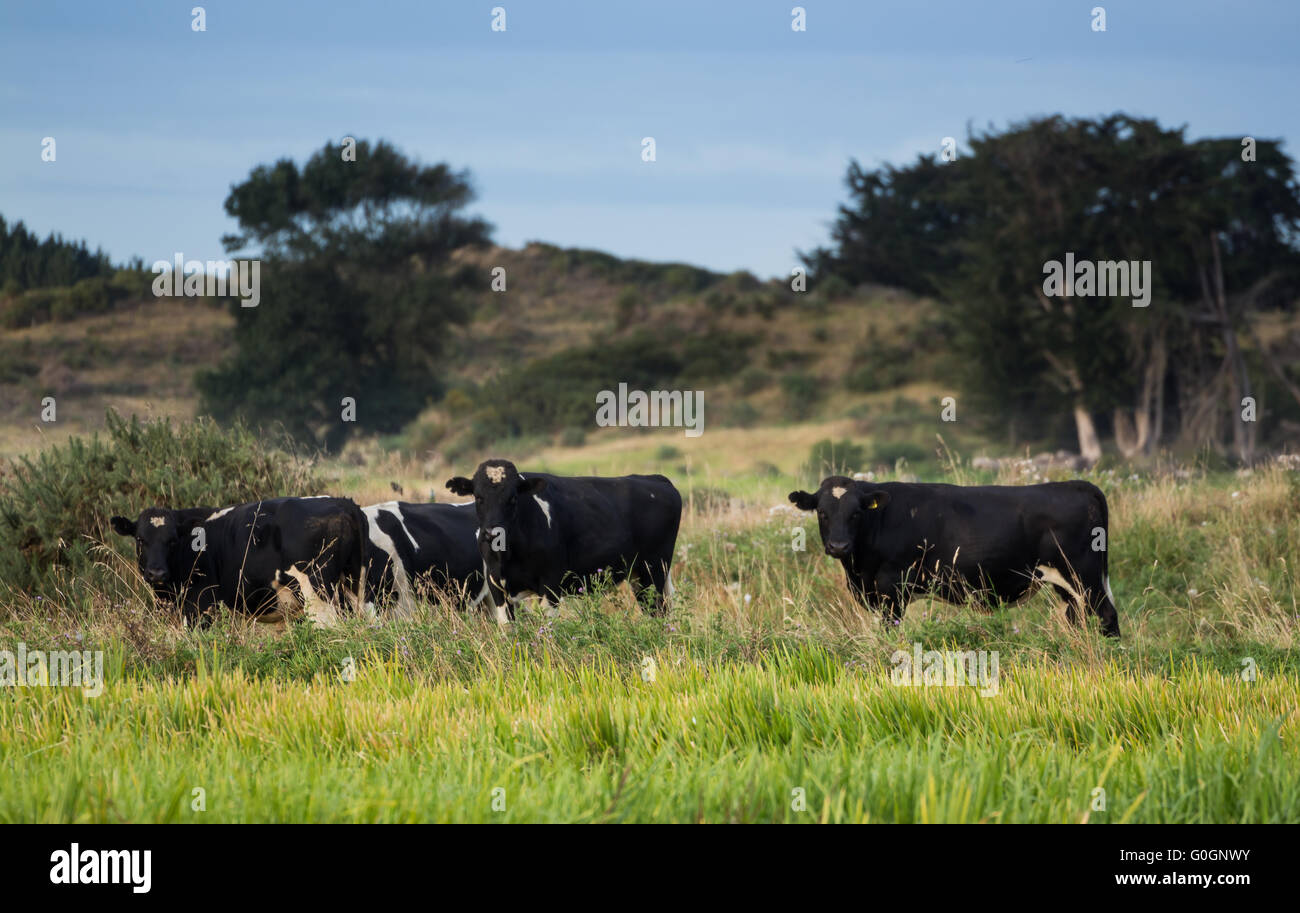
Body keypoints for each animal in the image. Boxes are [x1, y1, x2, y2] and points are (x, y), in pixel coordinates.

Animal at [109, 496, 366, 627]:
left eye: (172, 540)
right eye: (140, 539)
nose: (157, 573)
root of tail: (342, 502)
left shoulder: (199, 606)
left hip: (317, 592)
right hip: (356, 587)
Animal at [445, 459, 682, 622]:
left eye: (512, 498)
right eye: (478, 497)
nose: (492, 534)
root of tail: (655, 478)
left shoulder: (550, 583)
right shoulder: (496, 587)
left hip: (654, 571)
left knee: (659, 612)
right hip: (638, 574)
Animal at [788, 477, 1120, 637]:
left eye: (856, 513)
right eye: (822, 512)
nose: (838, 546)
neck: (859, 572)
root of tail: (1077, 484)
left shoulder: (892, 587)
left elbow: (889, 630)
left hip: (1085, 574)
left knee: (1107, 615)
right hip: (1067, 584)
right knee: (1077, 617)